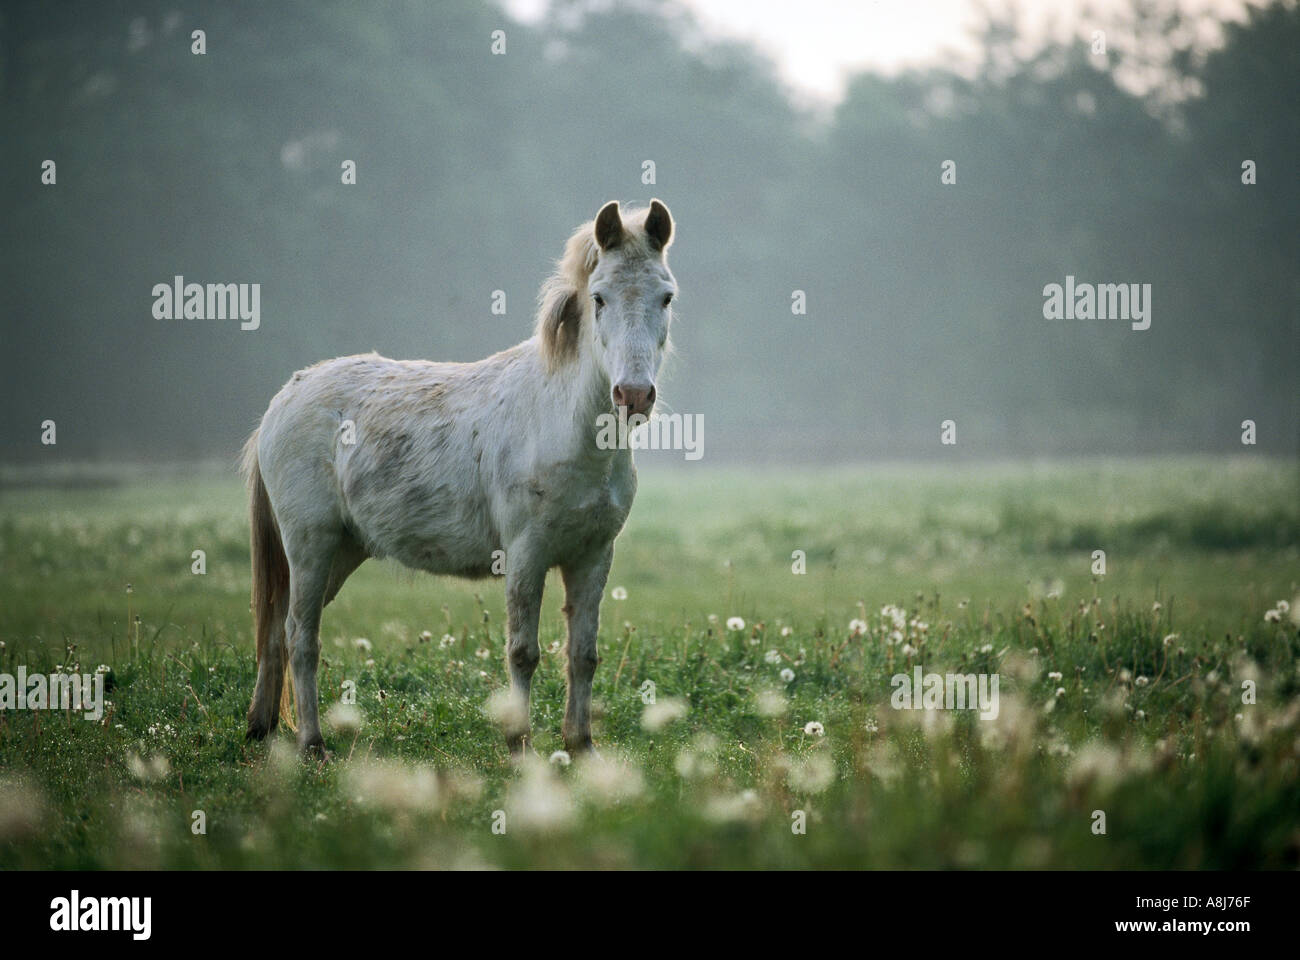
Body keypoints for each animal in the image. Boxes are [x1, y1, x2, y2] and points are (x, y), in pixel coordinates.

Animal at [241, 199, 677, 758]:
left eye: (666, 296)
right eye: (599, 297)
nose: (634, 395)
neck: (559, 422)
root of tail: (284, 399)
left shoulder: (593, 556)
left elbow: (583, 654)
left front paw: (580, 746)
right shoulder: (526, 553)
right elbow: (523, 652)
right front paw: (519, 744)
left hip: (341, 552)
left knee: (277, 630)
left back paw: (261, 726)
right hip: (310, 545)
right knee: (301, 638)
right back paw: (313, 744)